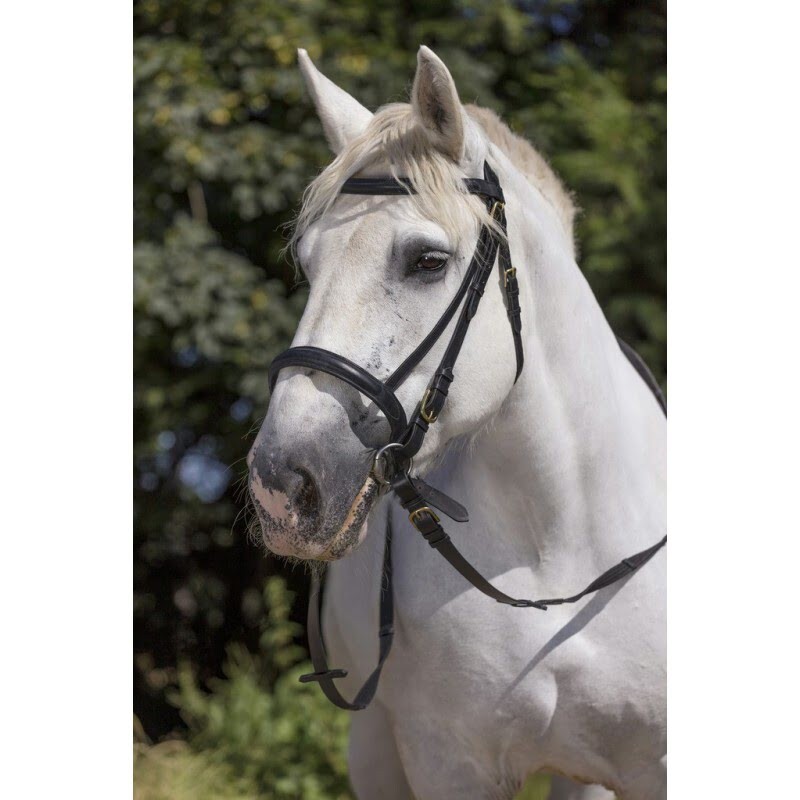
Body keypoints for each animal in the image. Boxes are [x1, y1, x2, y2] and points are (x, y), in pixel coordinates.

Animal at [248, 46, 666, 800]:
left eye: (428, 261)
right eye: (308, 267)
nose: (281, 485)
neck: (555, 553)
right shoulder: (449, 765)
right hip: (373, 747)